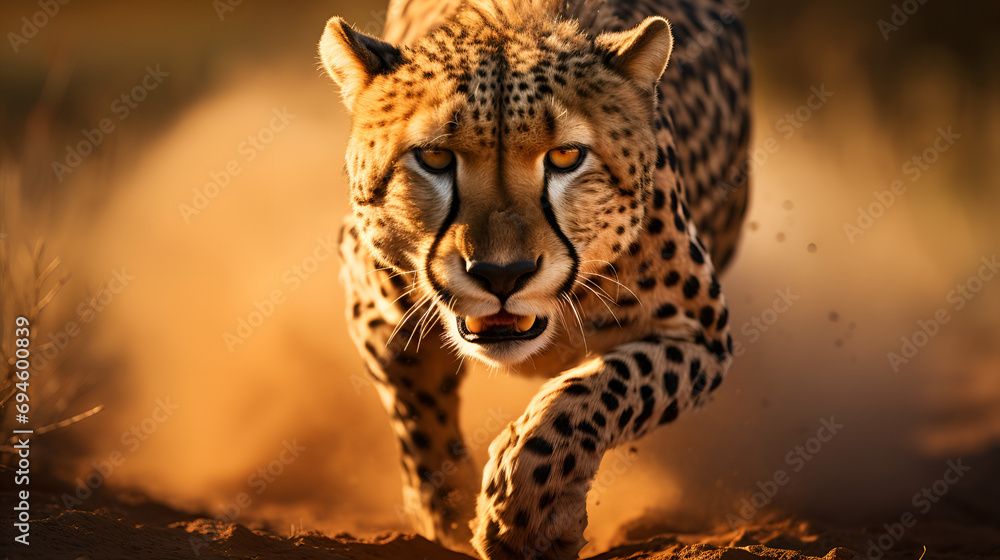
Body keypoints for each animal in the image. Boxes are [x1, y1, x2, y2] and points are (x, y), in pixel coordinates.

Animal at [317, 0, 750, 557]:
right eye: (434, 157)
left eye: (566, 156)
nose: (503, 274)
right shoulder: (373, 307)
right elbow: (418, 416)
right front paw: (447, 519)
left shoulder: (702, 336)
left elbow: (598, 389)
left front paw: (526, 513)